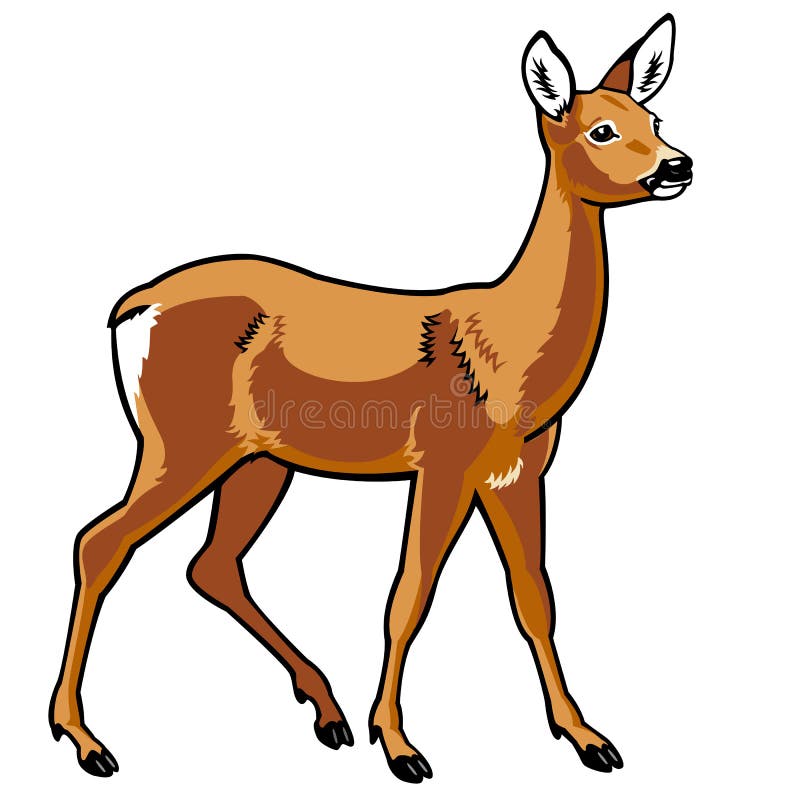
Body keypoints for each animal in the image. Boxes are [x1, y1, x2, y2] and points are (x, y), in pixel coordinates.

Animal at [50, 14, 692, 783]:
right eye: (600, 129)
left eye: (655, 118)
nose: (678, 165)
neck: (508, 353)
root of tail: (129, 310)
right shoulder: (443, 461)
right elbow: (408, 596)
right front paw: (401, 746)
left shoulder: (520, 472)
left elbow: (535, 598)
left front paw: (589, 738)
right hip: (181, 439)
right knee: (100, 541)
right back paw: (84, 739)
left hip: (259, 458)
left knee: (211, 563)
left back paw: (327, 712)